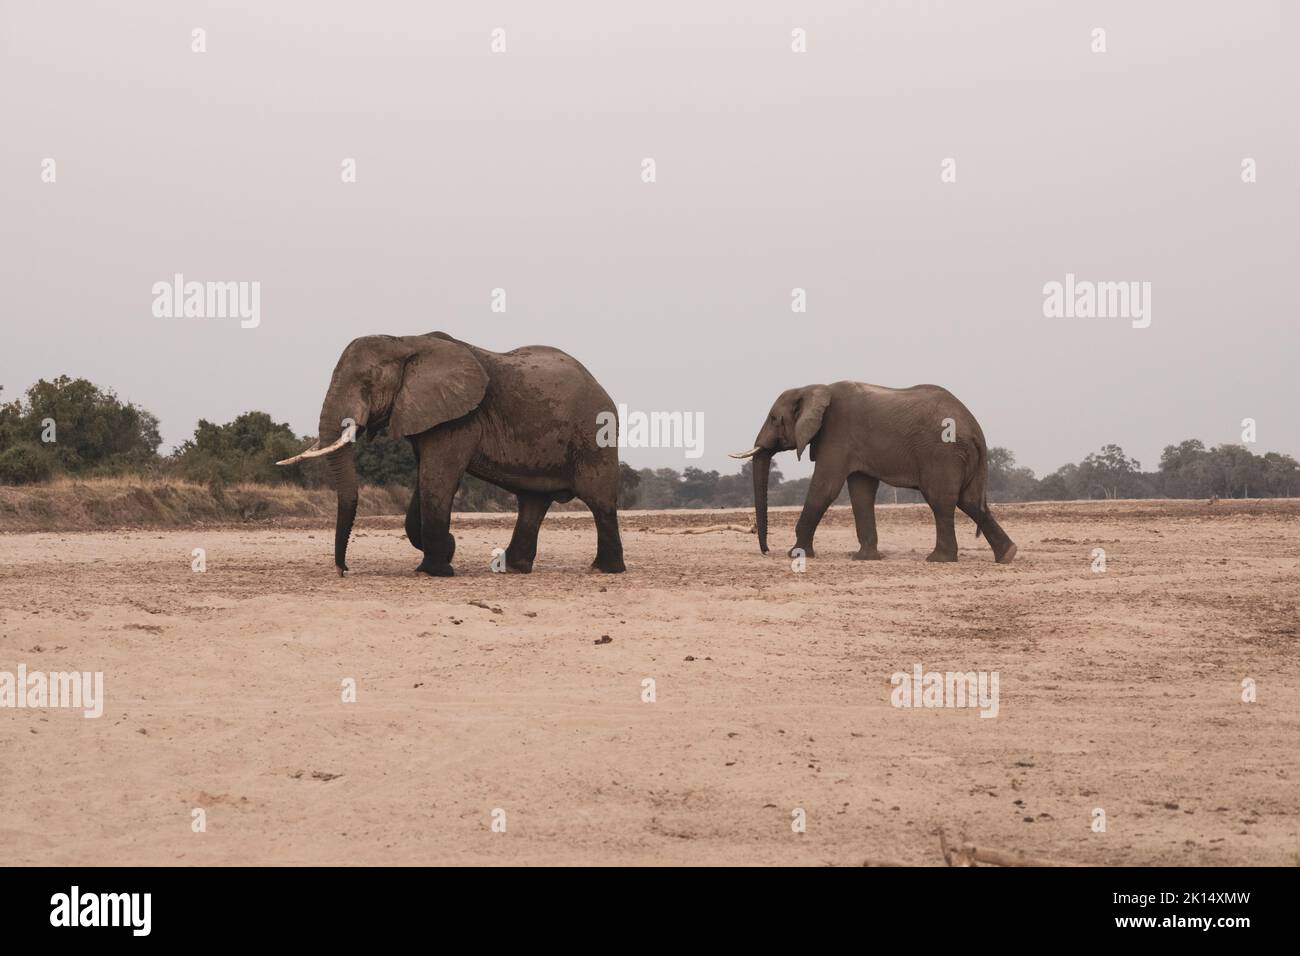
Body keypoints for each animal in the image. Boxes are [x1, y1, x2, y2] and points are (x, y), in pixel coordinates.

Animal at [278, 332, 626, 577]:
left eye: (366, 384)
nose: (343, 570)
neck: (405, 342)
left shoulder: (459, 419)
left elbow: (438, 478)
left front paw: (437, 569)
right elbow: (424, 480)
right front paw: (446, 551)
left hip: (594, 434)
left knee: (598, 499)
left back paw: (604, 569)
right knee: (532, 502)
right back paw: (513, 567)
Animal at [731, 382, 1016, 563]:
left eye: (773, 419)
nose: (766, 550)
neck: (812, 387)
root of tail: (976, 429)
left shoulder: (838, 434)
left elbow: (825, 488)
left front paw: (795, 554)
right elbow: (861, 493)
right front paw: (864, 558)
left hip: (943, 454)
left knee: (941, 502)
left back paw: (939, 559)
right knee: (971, 502)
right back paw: (1007, 555)